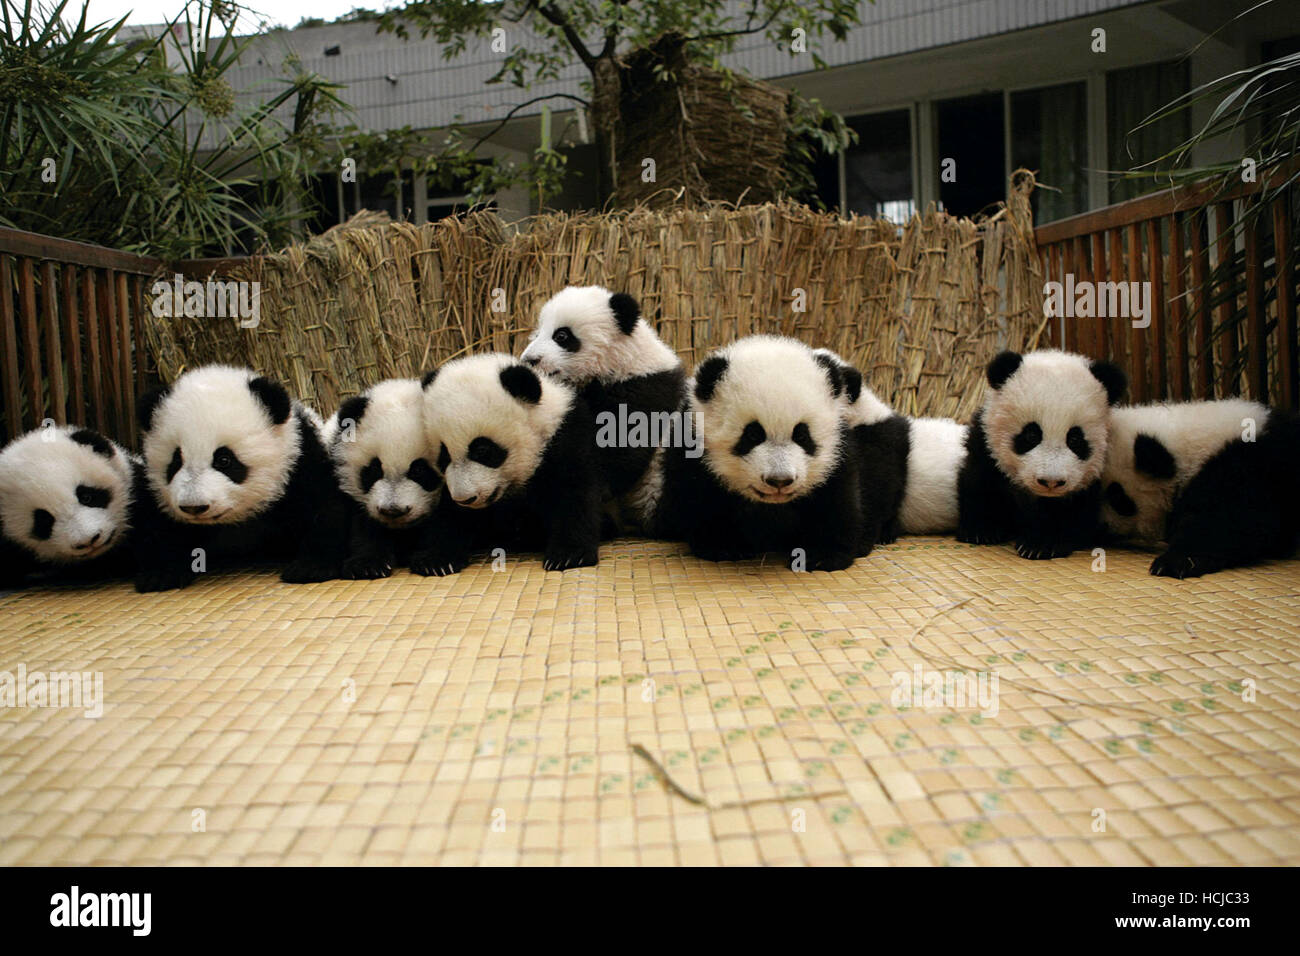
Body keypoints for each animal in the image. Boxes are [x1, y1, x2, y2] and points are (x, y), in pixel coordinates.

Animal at [134, 364, 350, 591]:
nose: (194, 507)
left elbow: (322, 507)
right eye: (176, 461)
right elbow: (156, 524)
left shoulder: (297, 461)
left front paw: (310, 568)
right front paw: (161, 575)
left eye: (224, 460)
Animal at [324, 378, 443, 579]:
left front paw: (434, 561)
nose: (393, 511)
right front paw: (367, 565)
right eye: (374, 469)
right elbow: (363, 525)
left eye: (419, 470)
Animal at [415, 353, 602, 574]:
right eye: (444, 456)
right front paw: (437, 561)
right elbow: (449, 514)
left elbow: (573, 492)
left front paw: (567, 556)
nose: (465, 499)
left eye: (483, 450)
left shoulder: (565, 437)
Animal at [656, 336, 861, 571]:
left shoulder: (837, 452)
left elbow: (835, 499)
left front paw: (822, 555)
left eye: (802, 435)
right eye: (753, 435)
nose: (779, 480)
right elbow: (700, 496)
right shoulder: (692, 446)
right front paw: (724, 546)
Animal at [957, 349, 1126, 559]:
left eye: (1075, 439)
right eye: (1031, 435)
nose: (1050, 482)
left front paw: (1040, 545)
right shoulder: (986, 443)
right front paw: (982, 530)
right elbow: (979, 480)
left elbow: (1074, 512)